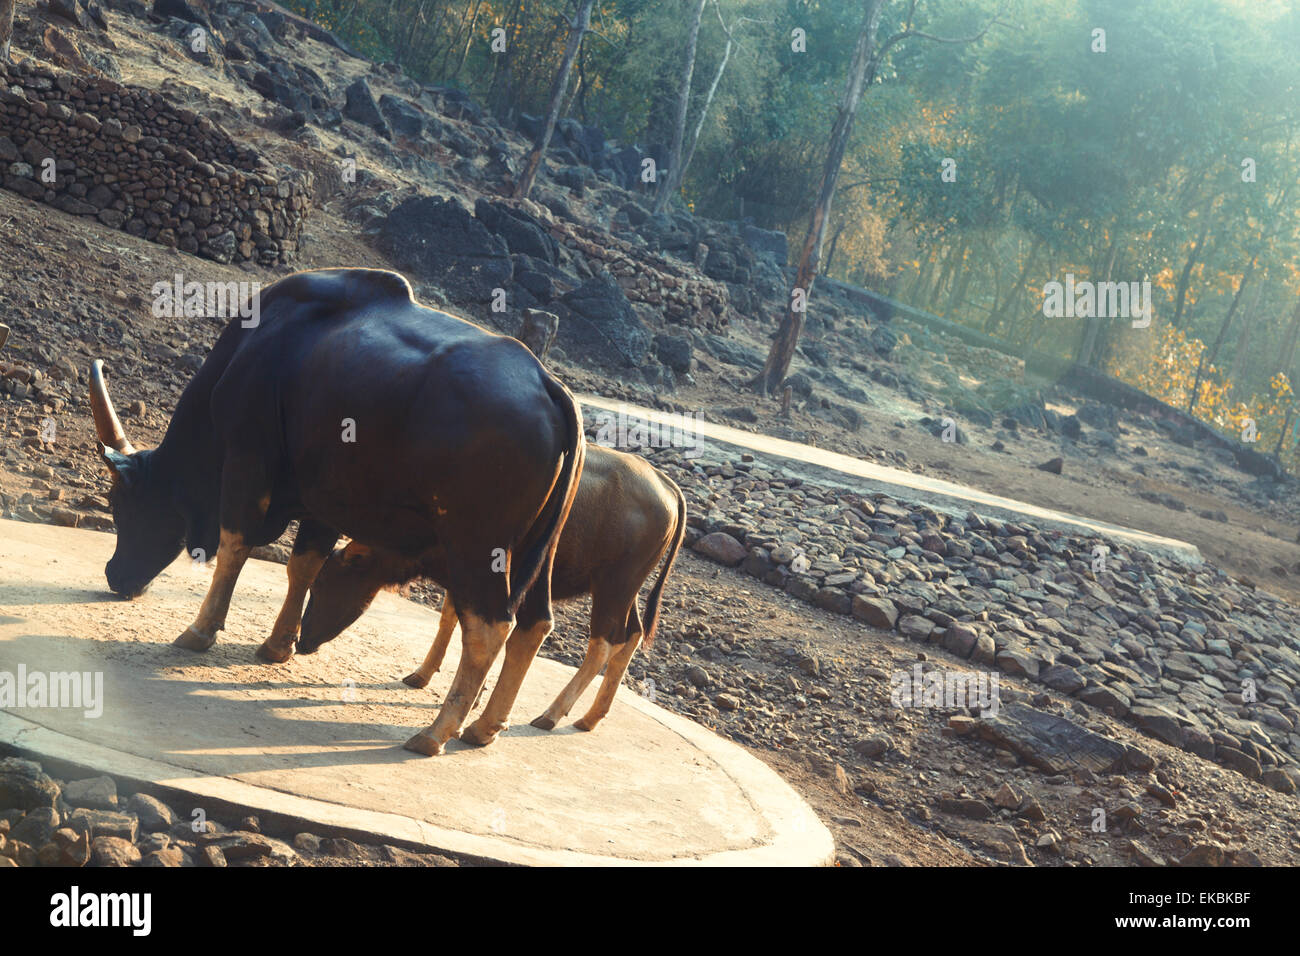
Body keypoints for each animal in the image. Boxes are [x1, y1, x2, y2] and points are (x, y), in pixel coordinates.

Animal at [89, 268, 585, 756]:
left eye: (122, 503)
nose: (115, 574)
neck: (261, 344)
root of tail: (549, 386)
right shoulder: (323, 500)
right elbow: (303, 566)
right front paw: (277, 645)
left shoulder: (247, 461)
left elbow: (235, 544)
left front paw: (200, 631)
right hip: (537, 553)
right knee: (534, 623)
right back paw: (484, 727)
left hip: (477, 545)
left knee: (489, 627)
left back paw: (434, 733)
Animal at [295, 444, 686, 733]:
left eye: (324, 582)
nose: (303, 641)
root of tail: (665, 484)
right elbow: (451, 619)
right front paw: (423, 677)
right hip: (623, 591)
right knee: (632, 635)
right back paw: (589, 718)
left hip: (613, 587)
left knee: (603, 643)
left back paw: (550, 715)